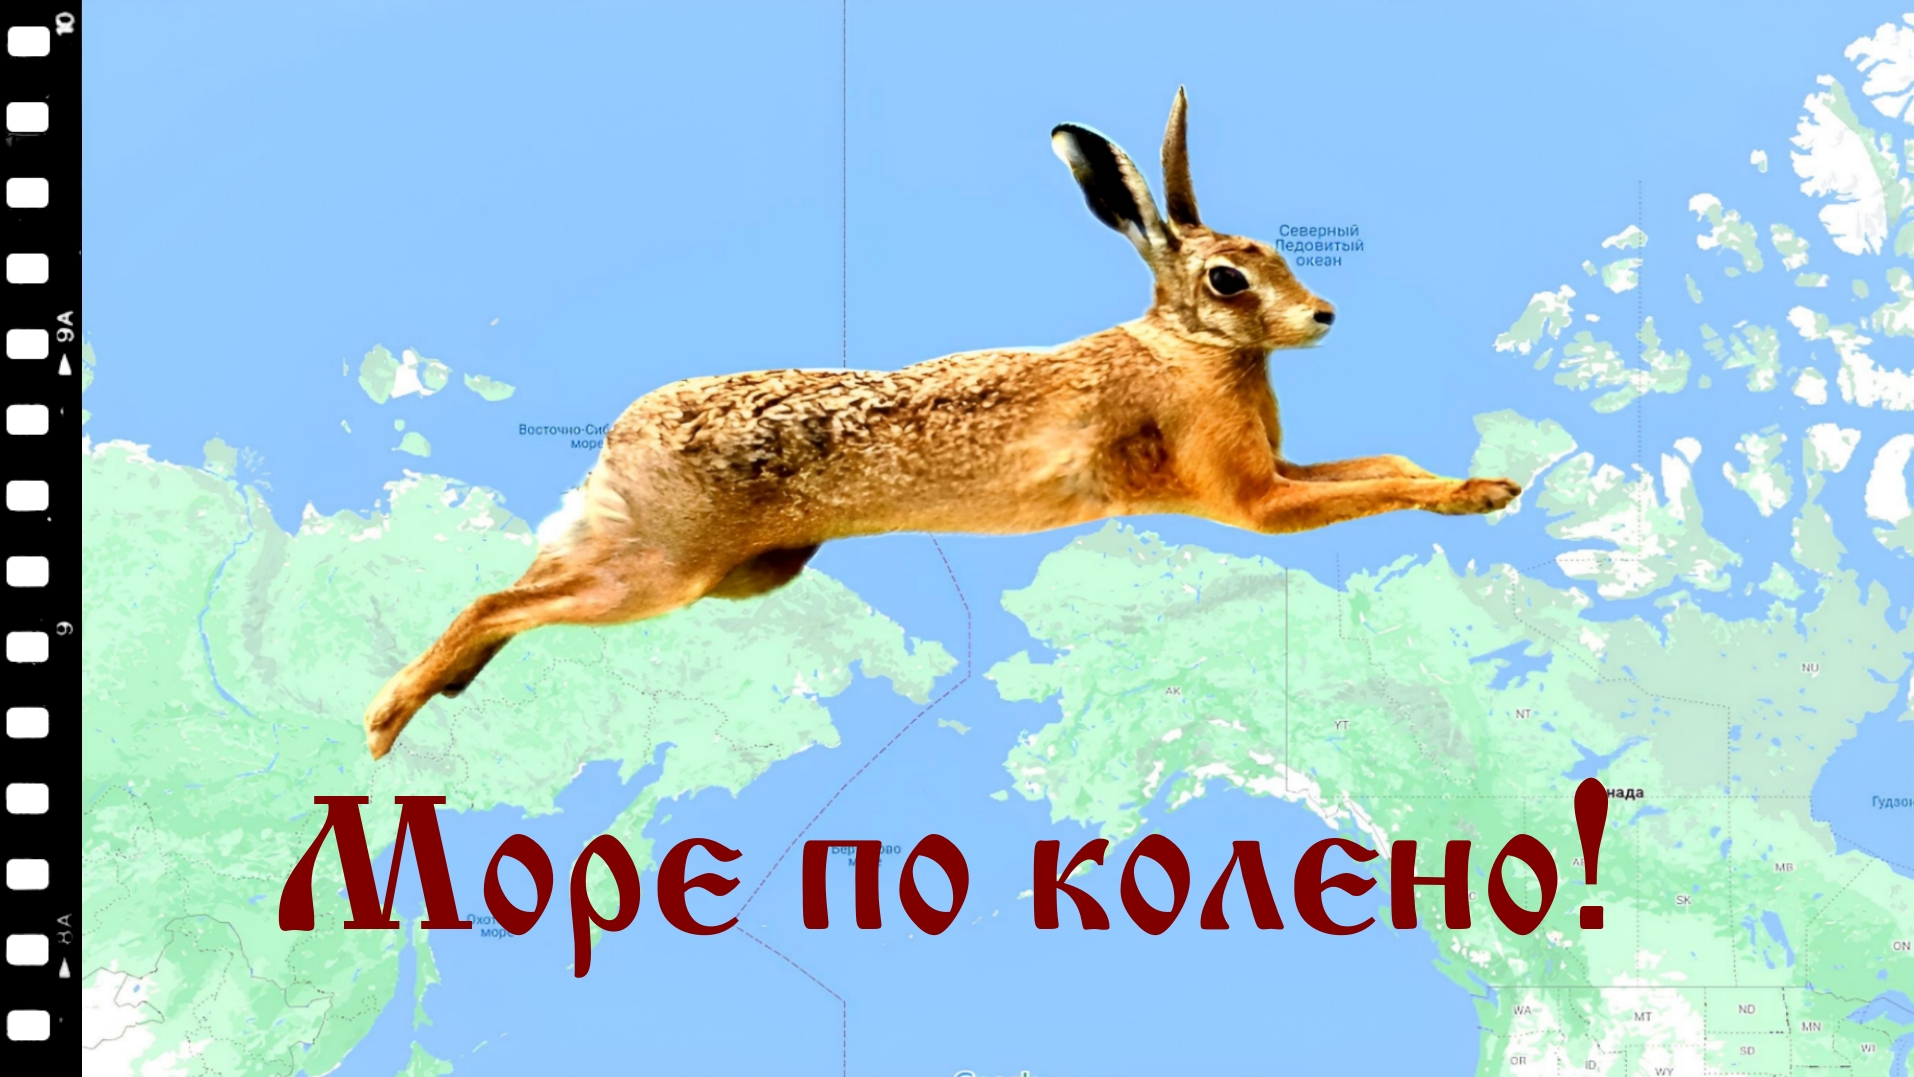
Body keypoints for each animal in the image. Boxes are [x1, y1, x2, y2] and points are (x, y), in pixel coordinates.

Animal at [361, 87, 1520, 759]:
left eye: (1278, 255)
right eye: (1229, 279)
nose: (1322, 316)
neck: (1187, 347)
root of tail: (616, 441)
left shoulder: (1278, 472)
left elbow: (1382, 460)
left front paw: (1478, 485)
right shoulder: (1251, 499)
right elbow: (1371, 487)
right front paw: (1483, 494)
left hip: (723, 569)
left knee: (523, 590)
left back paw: (441, 690)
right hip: (667, 573)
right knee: (496, 598)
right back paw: (385, 723)